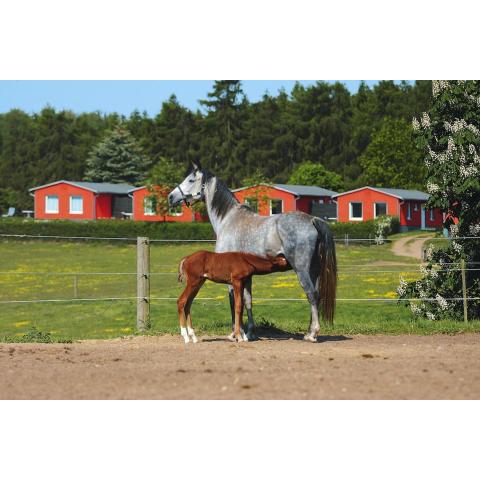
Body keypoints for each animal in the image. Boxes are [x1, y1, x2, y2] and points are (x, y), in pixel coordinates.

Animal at [169, 163, 338, 344]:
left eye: (190, 179)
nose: (170, 197)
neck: (228, 220)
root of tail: (312, 220)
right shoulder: (246, 277)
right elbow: (248, 301)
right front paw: (249, 332)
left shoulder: (232, 279)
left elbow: (234, 302)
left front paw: (235, 333)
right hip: (315, 270)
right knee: (317, 295)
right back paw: (309, 331)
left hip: (302, 270)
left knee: (311, 294)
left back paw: (312, 334)